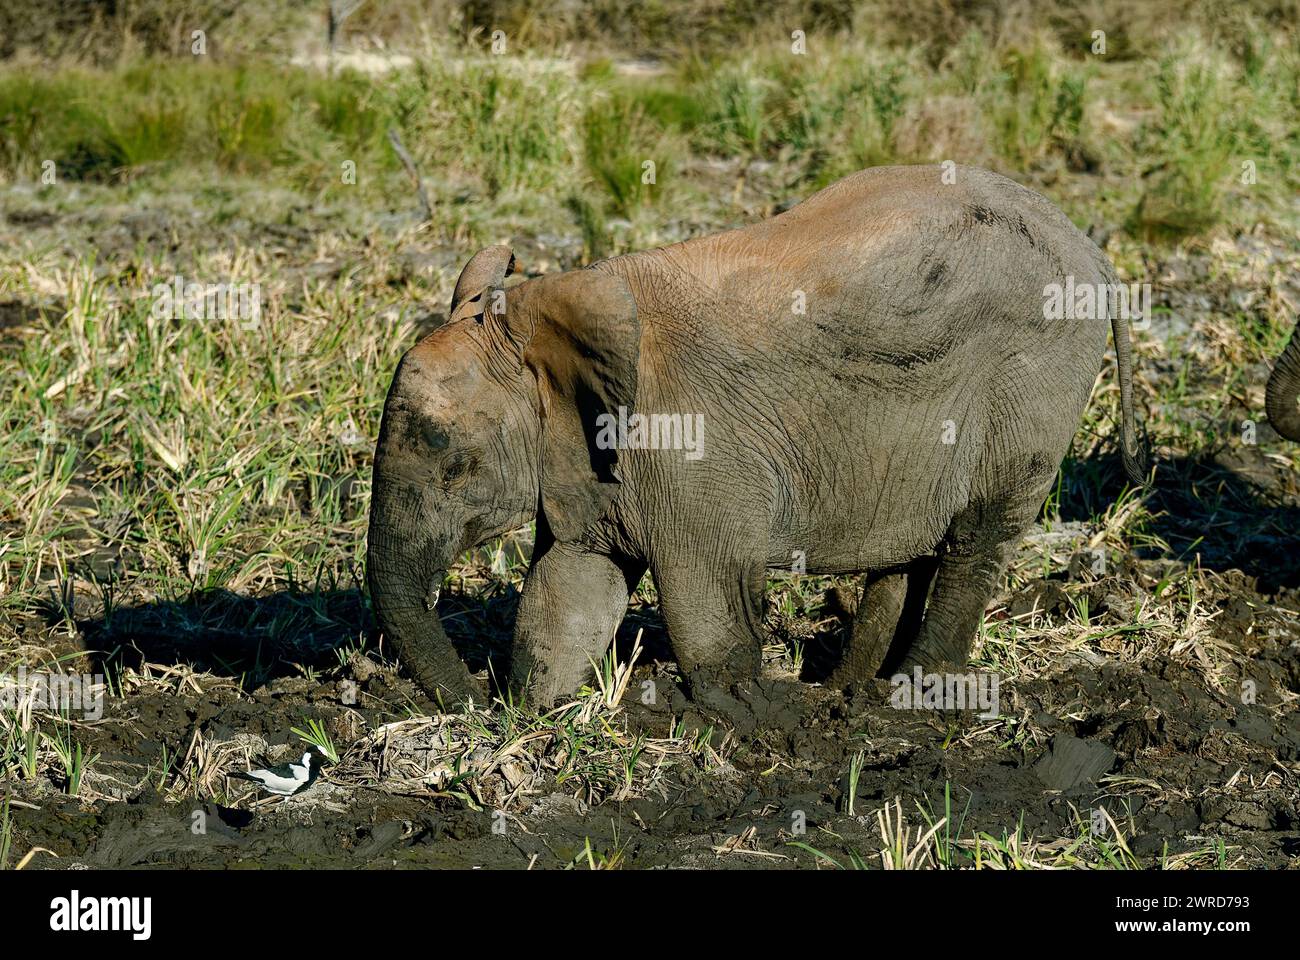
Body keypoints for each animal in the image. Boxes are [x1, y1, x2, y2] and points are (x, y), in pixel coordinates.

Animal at [367, 163, 1144, 711]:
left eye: (452, 460)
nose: (470, 701)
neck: (544, 313)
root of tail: (1095, 253)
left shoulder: (686, 447)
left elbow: (708, 606)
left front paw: (749, 715)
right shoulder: (588, 462)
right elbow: (571, 589)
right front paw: (534, 710)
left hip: (1032, 383)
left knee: (976, 539)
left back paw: (906, 701)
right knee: (913, 553)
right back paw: (844, 694)